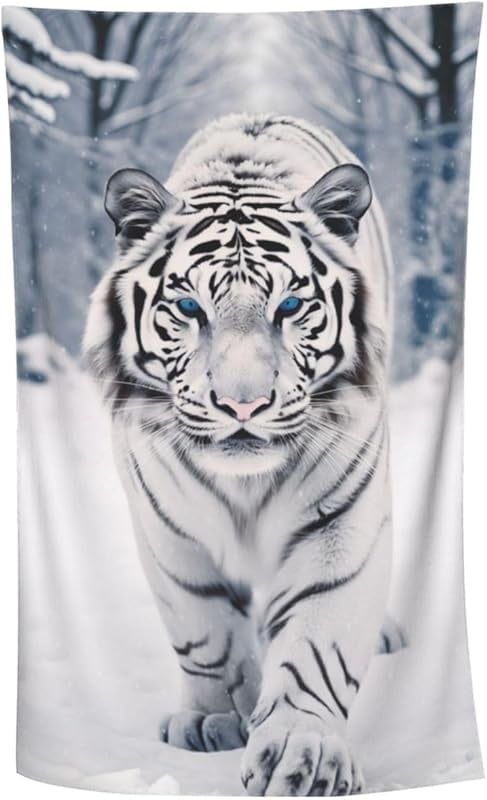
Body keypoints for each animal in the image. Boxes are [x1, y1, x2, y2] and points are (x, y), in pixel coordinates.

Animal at [83, 113, 403, 796]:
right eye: (188, 308)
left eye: (290, 306)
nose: (243, 404)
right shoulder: (164, 527)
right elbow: (204, 627)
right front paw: (217, 718)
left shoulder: (340, 521)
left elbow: (316, 638)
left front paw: (303, 756)